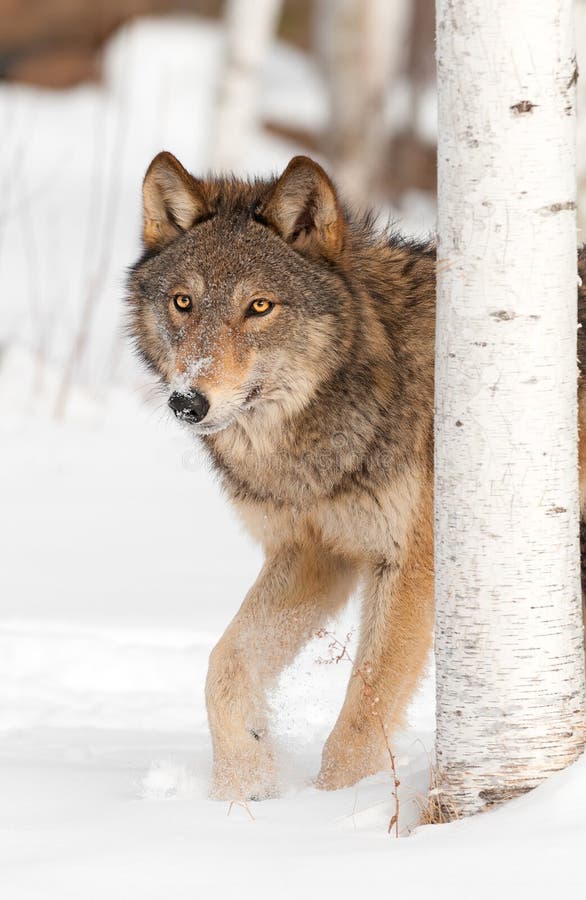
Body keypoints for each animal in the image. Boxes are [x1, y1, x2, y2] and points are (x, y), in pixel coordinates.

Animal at [127, 150, 586, 801]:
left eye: (259, 306)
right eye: (183, 302)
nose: (188, 401)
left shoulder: (413, 565)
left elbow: (361, 716)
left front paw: (332, 811)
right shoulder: (313, 553)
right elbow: (224, 668)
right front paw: (242, 790)